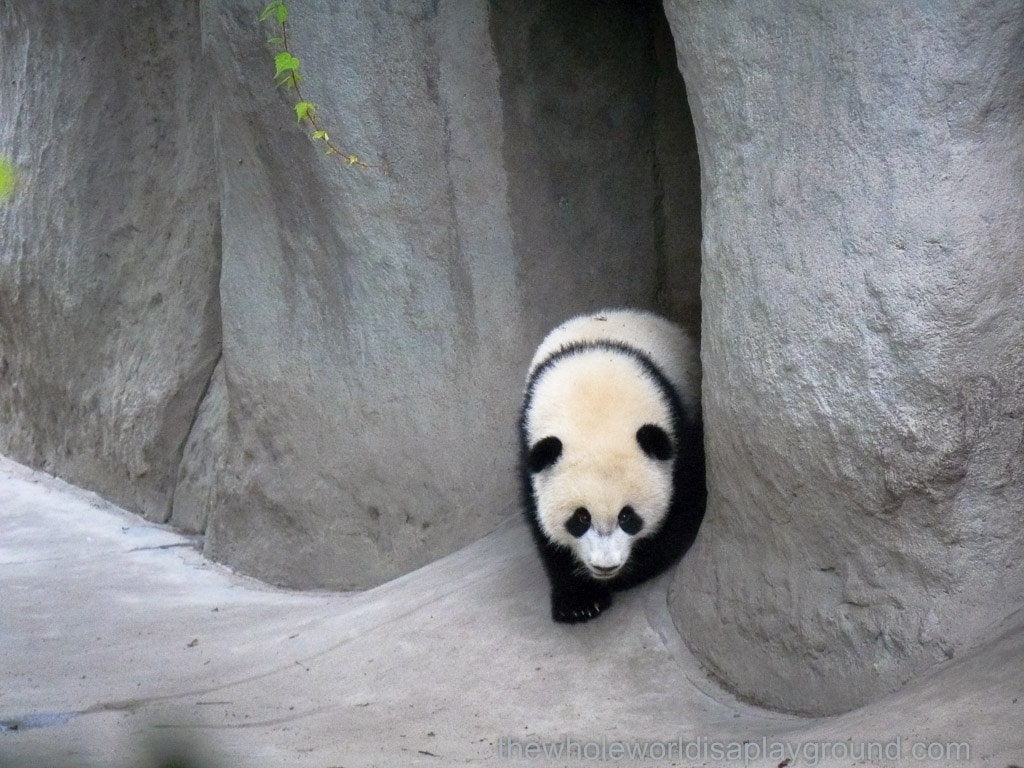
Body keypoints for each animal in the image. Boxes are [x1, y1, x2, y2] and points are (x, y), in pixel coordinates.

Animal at [519, 309, 705, 623]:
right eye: (580, 518)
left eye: (627, 516)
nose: (605, 566)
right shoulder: (529, 447)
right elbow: (541, 525)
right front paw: (579, 602)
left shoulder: (677, 432)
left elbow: (682, 513)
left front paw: (622, 577)